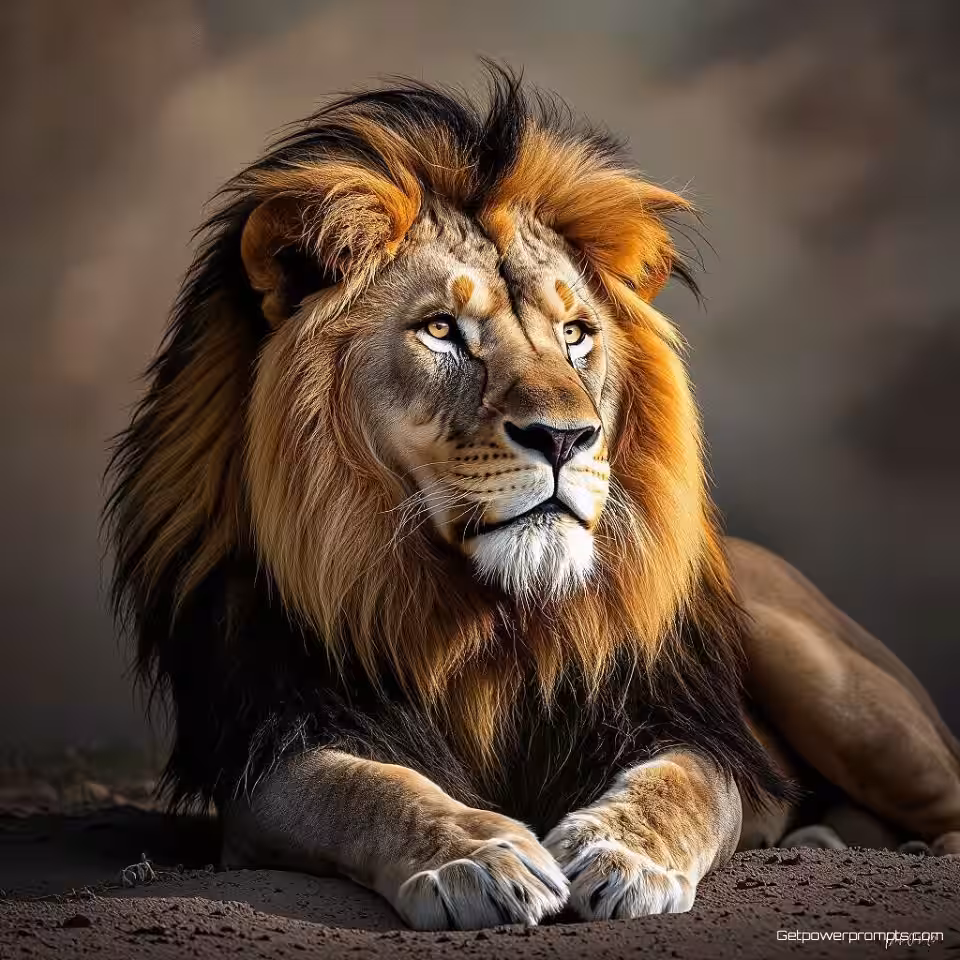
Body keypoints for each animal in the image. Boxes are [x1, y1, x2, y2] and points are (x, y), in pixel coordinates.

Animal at [106, 69, 960, 930]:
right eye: (441, 329)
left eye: (576, 332)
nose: (565, 439)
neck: (496, 625)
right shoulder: (272, 754)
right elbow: (370, 790)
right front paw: (477, 856)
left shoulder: (692, 730)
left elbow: (680, 789)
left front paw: (623, 853)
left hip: (820, 672)